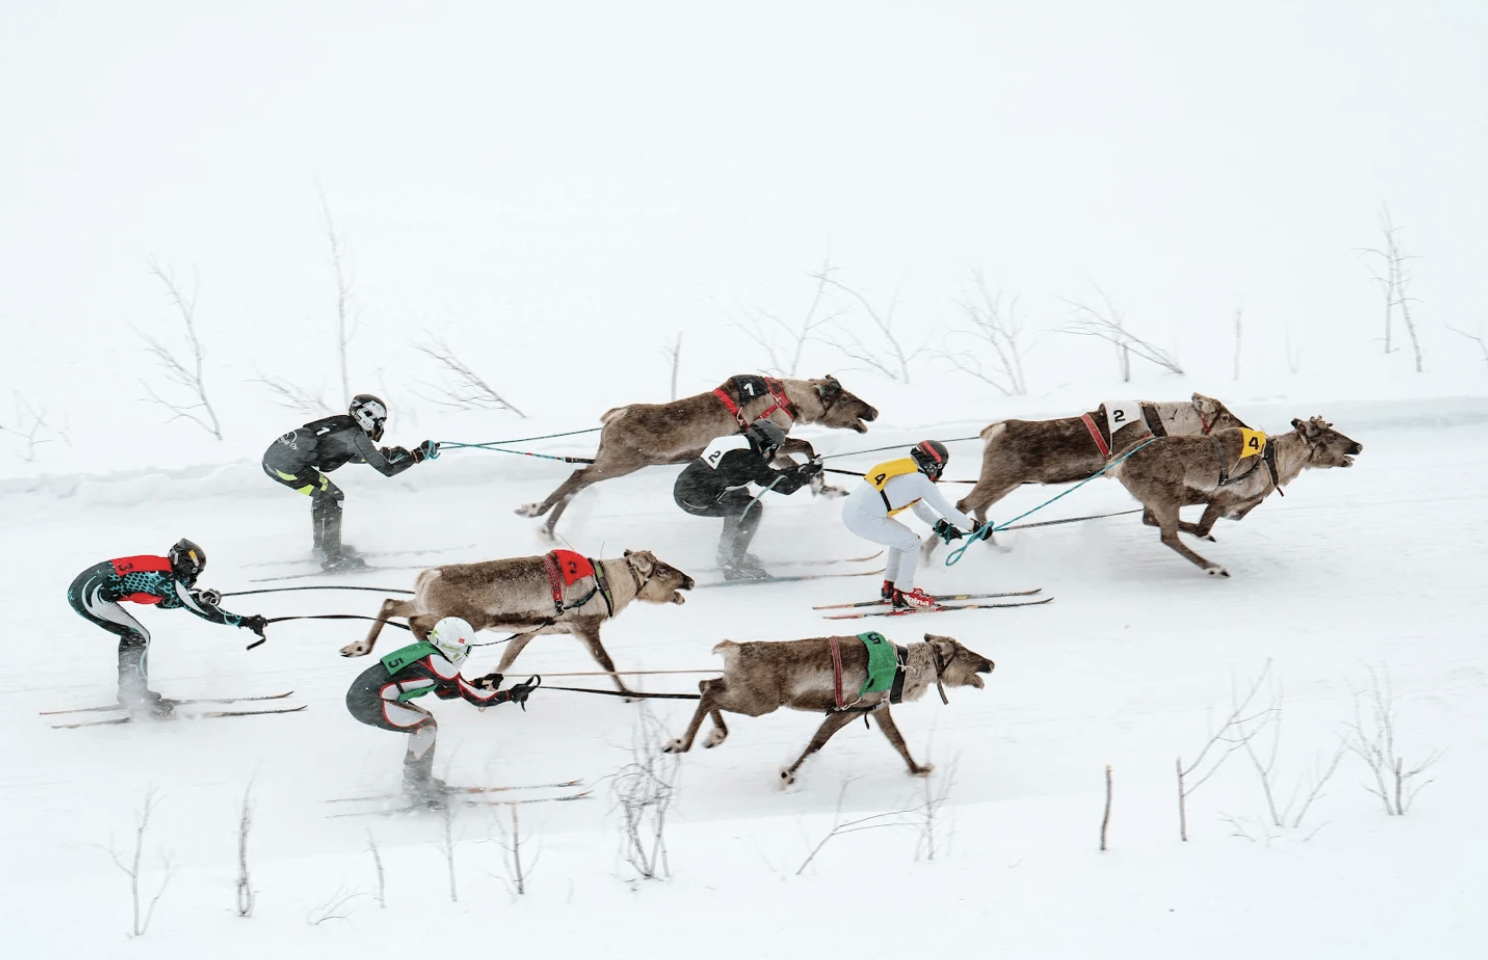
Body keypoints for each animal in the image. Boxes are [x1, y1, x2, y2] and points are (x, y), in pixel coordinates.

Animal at [340, 549, 695, 697]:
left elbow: (507, 660)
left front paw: (489, 681)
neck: (611, 586)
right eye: (662, 570)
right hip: (466, 619)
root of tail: (429, 574)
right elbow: (606, 662)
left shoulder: (527, 633)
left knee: (391, 604)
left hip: (426, 602)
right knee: (413, 620)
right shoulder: (586, 627)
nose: (690, 581)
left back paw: (358, 647)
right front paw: (630, 693)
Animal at [515, 374, 878, 539]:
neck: (791, 400)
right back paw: (534, 512)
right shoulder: (774, 437)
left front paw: (827, 488)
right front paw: (821, 483)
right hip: (622, 462)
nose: (874, 411)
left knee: (579, 481)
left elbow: (796, 462)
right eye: (846, 398)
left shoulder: (773, 449)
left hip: (608, 458)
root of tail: (613, 416)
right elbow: (806, 447)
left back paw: (547, 527)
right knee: (578, 477)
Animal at [664, 632, 994, 785]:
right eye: (965, 654)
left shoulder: (861, 710)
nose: (991, 663)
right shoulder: (864, 707)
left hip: (743, 691)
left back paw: (710, 736)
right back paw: (684, 742)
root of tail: (732, 649)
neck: (906, 668)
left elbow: (820, 741)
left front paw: (917, 769)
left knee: (704, 683)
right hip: (759, 702)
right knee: (709, 693)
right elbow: (895, 740)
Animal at [1110, 416, 1363, 576]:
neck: (1276, 461)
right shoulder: (1223, 497)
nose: (1359, 446)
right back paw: (1214, 567)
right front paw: (1207, 534)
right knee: (1168, 537)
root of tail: (1120, 462)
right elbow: (1206, 525)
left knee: (1149, 519)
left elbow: (1240, 511)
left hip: (1155, 501)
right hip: (1166, 499)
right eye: (1330, 439)